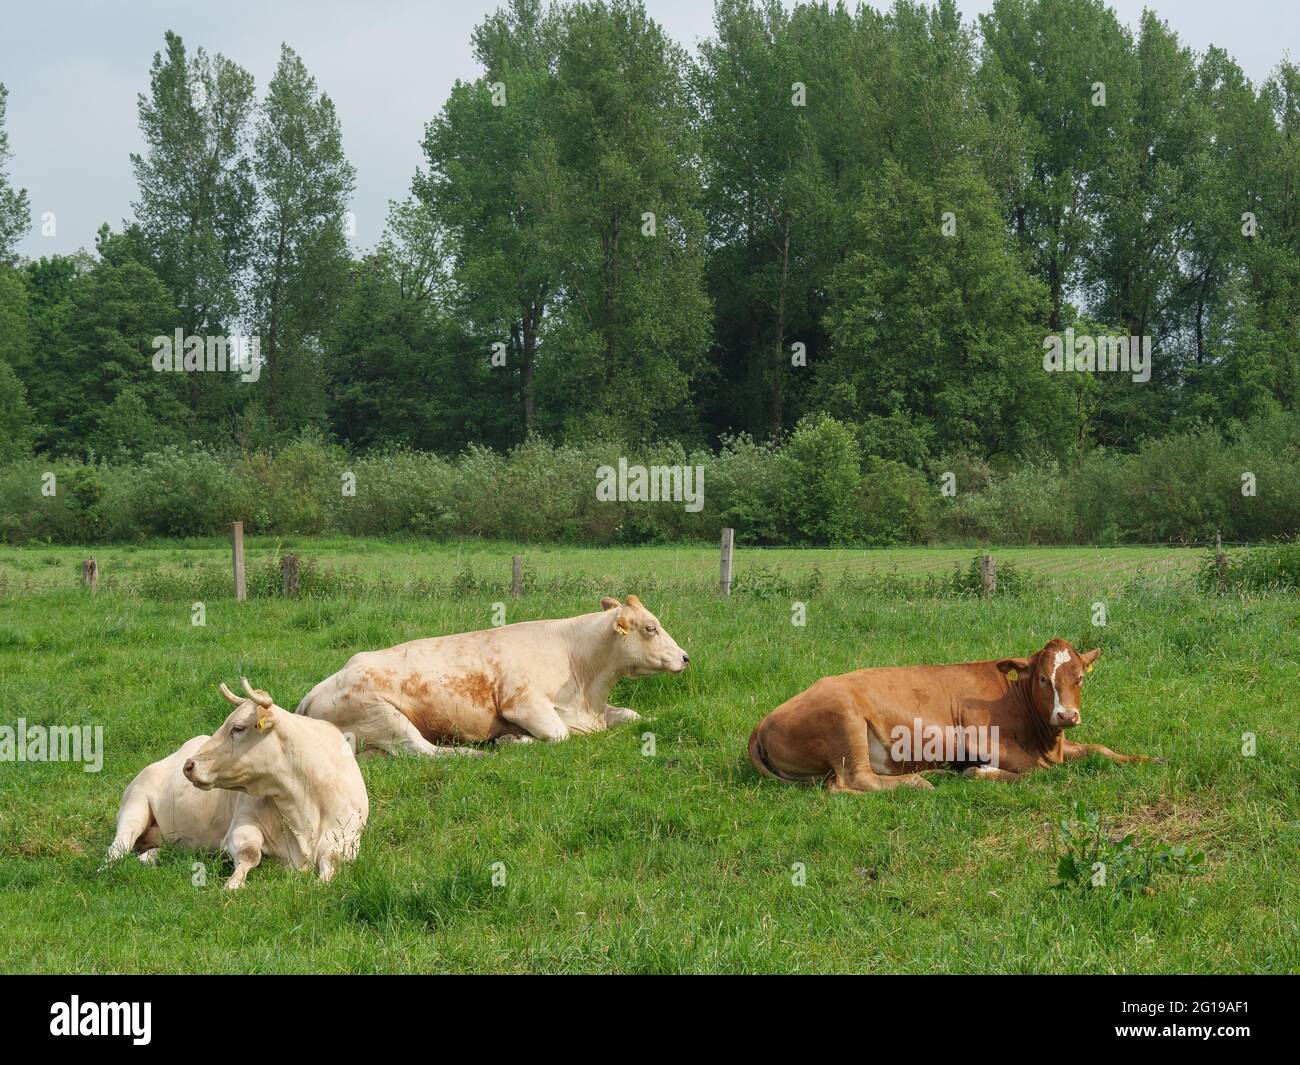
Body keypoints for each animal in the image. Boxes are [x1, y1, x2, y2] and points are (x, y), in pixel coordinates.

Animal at [106, 679, 368, 889]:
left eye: (238, 728)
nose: (189, 765)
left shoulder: (349, 836)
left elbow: (333, 859)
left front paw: (321, 884)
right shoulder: (241, 824)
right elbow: (250, 852)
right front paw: (233, 884)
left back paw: (150, 857)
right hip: (135, 805)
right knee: (117, 849)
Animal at [296, 595, 689, 755]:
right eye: (651, 628)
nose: (685, 657)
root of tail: (314, 691)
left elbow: (632, 715)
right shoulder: (524, 705)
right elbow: (559, 736)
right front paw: (512, 740)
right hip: (383, 716)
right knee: (424, 752)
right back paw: (473, 753)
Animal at [748, 638, 1156, 792]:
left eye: (1080, 677)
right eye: (1043, 678)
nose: (1067, 715)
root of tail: (763, 720)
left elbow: (1099, 749)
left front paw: (1149, 759)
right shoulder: (976, 737)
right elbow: (1036, 768)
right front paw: (979, 772)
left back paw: (931, 774)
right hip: (844, 720)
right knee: (852, 781)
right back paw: (920, 782)